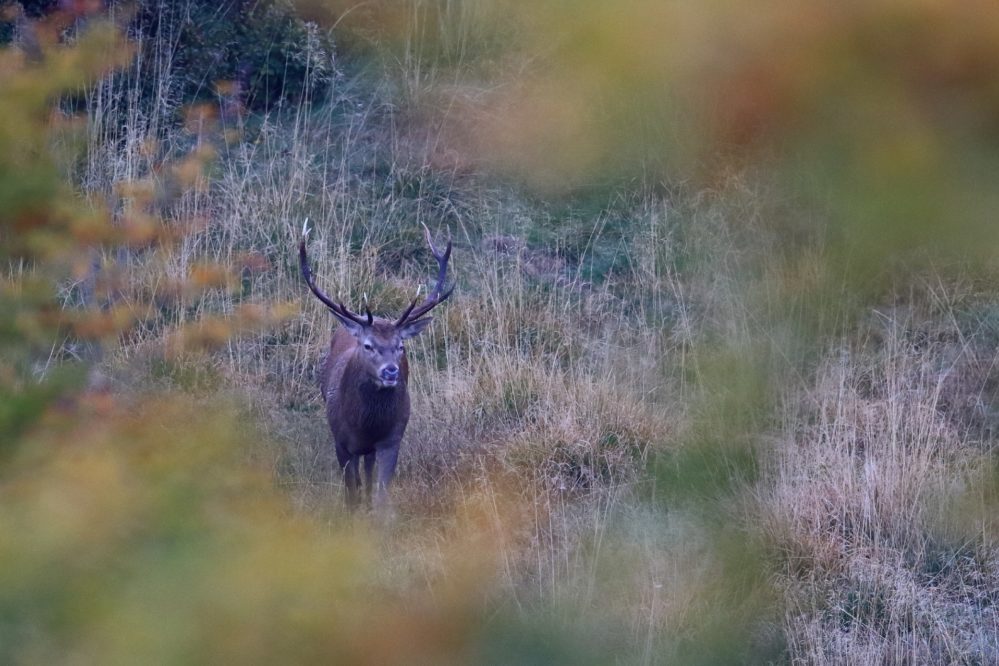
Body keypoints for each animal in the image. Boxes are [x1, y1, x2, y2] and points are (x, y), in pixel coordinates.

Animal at [299, 221, 453, 509]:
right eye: (368, 346)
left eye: (401, 346)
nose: (391, 371)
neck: (366, 425)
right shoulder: (341, 441)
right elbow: (350, 492)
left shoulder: (392, 439)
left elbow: (381, 494)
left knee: (368, 471)